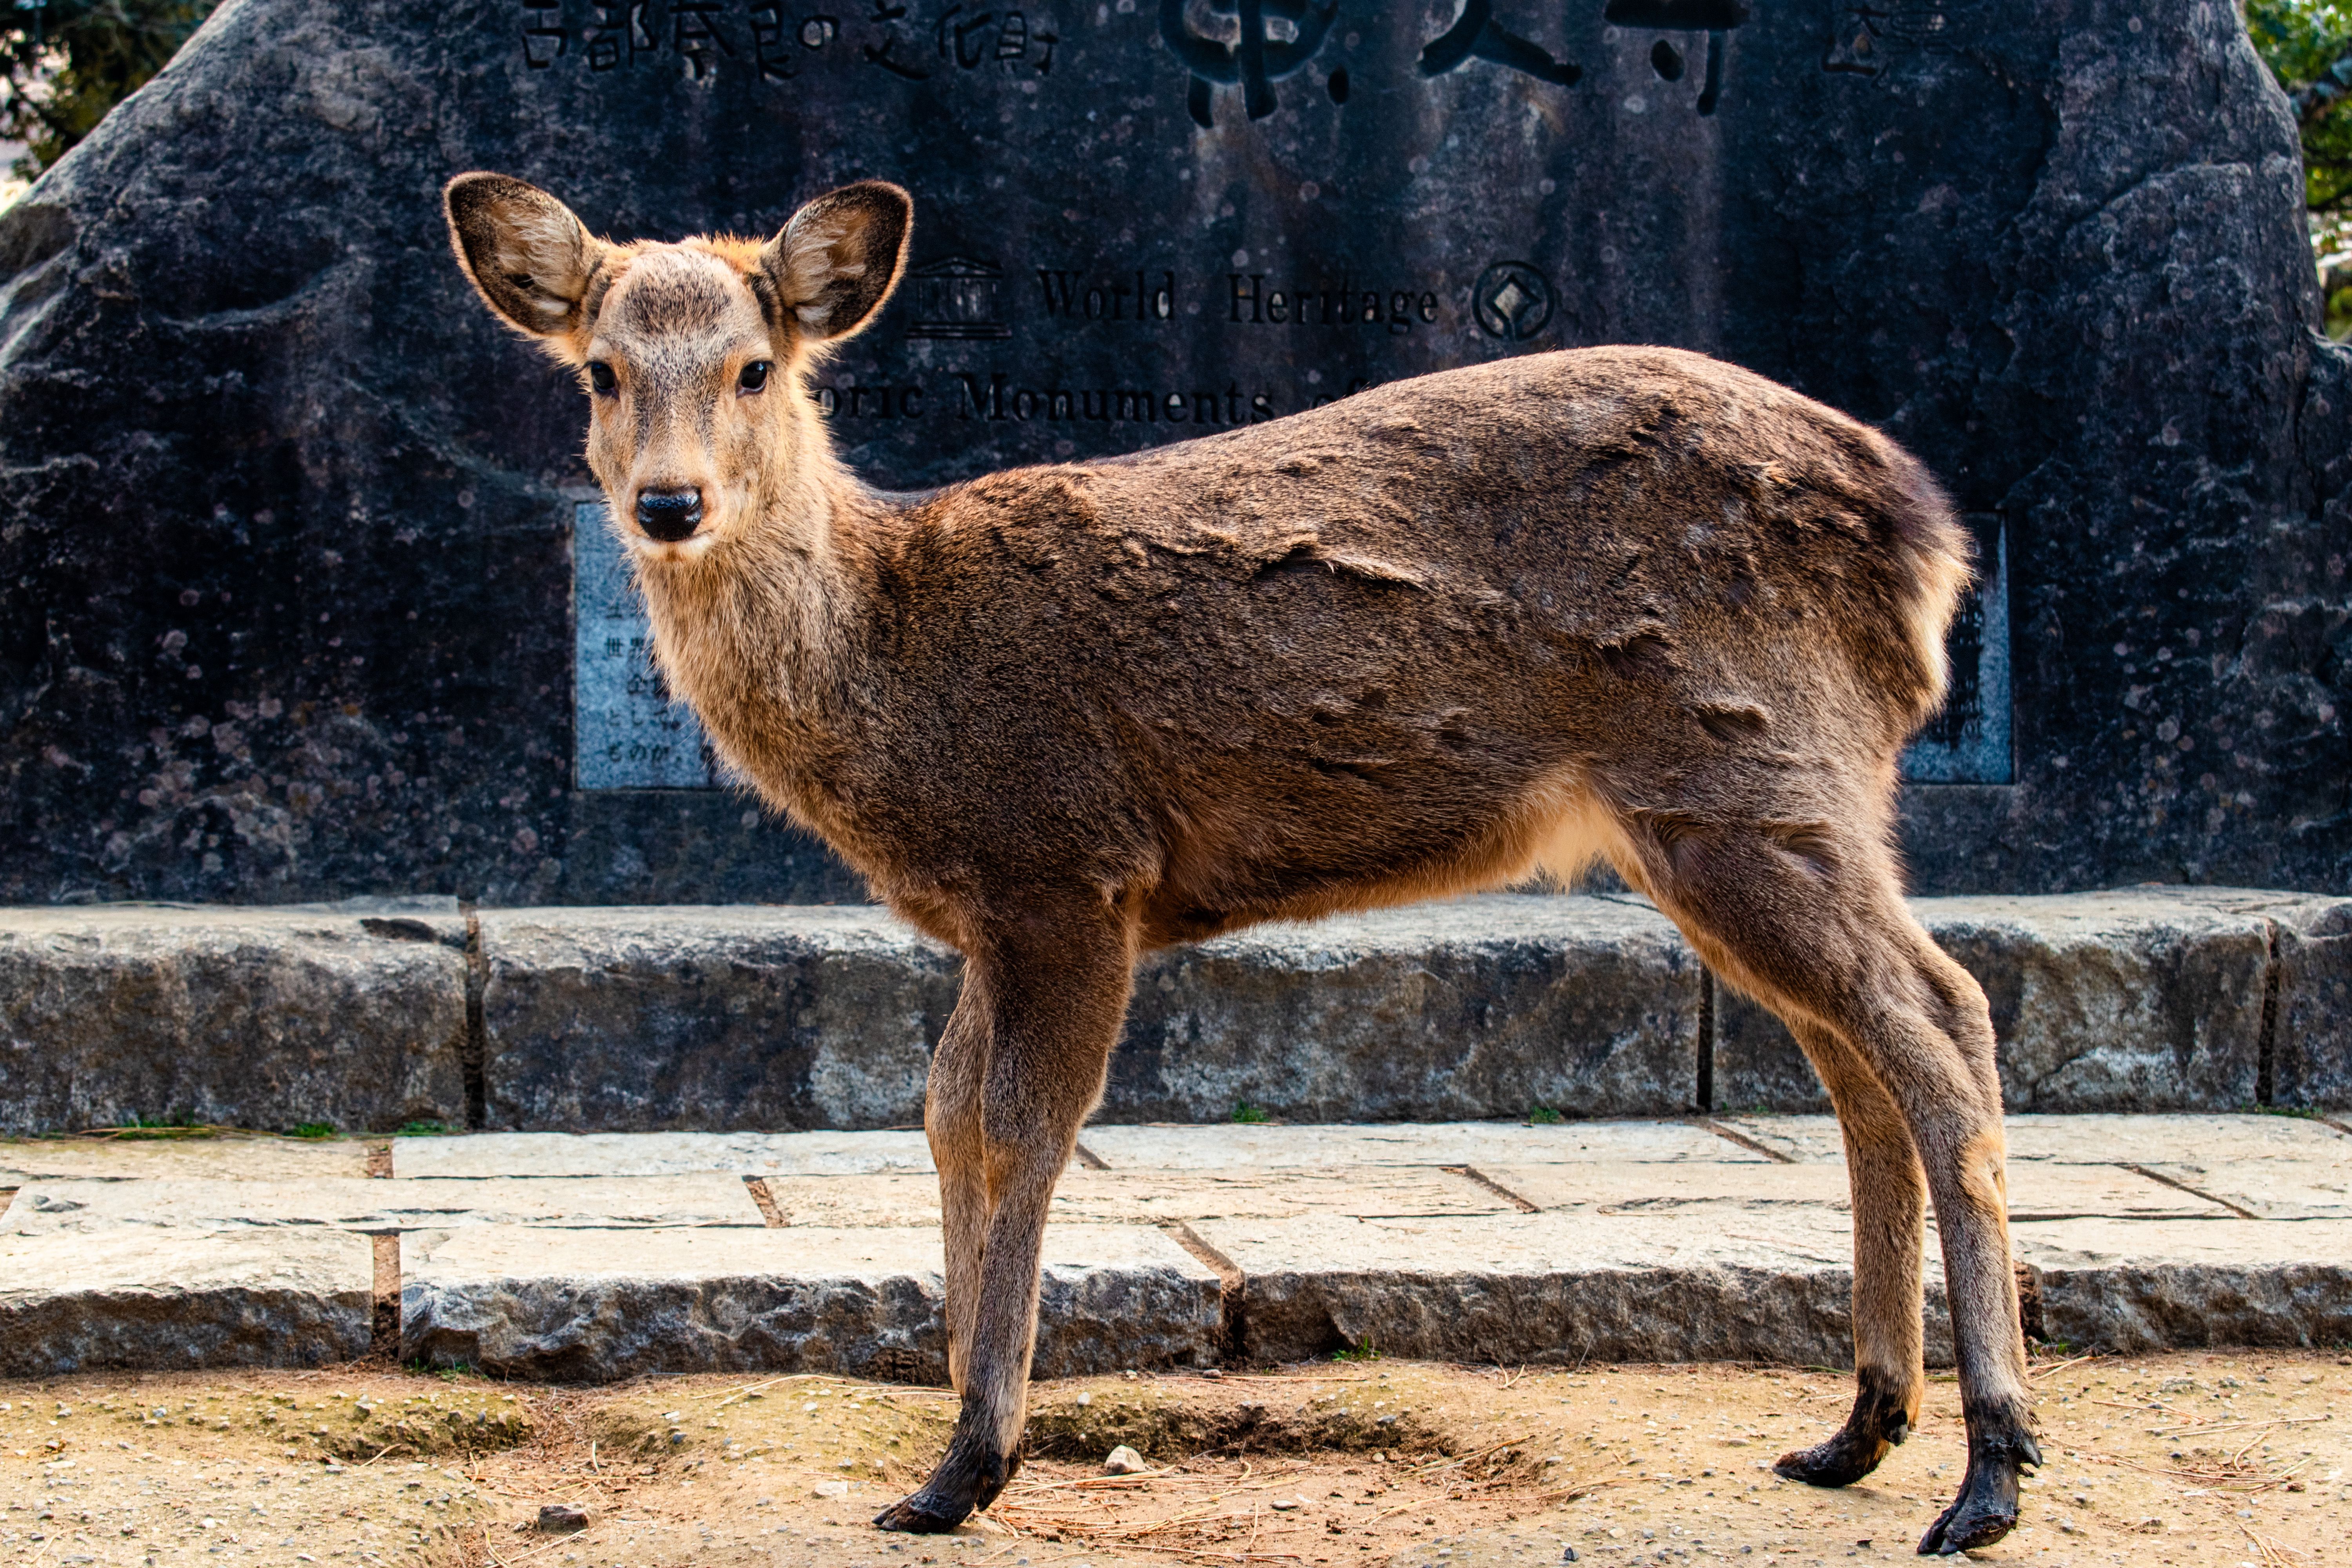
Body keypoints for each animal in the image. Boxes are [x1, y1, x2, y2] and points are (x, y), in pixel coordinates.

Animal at [443, 172, 2041, 1555]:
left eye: (755, 367)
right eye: (599, 369)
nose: (667, 506)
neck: (893, 679)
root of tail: (1926, 541)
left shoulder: (1067, 866)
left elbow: (1015, 1130)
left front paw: (968, 1463)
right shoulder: (991, 910)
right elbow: (942, 1117)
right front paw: (953, 1426)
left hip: (1746, 764)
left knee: (1941, 1015)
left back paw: (1988, 1469)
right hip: (1752, 809)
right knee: (1858, 1059)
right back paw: (1858, 1428)